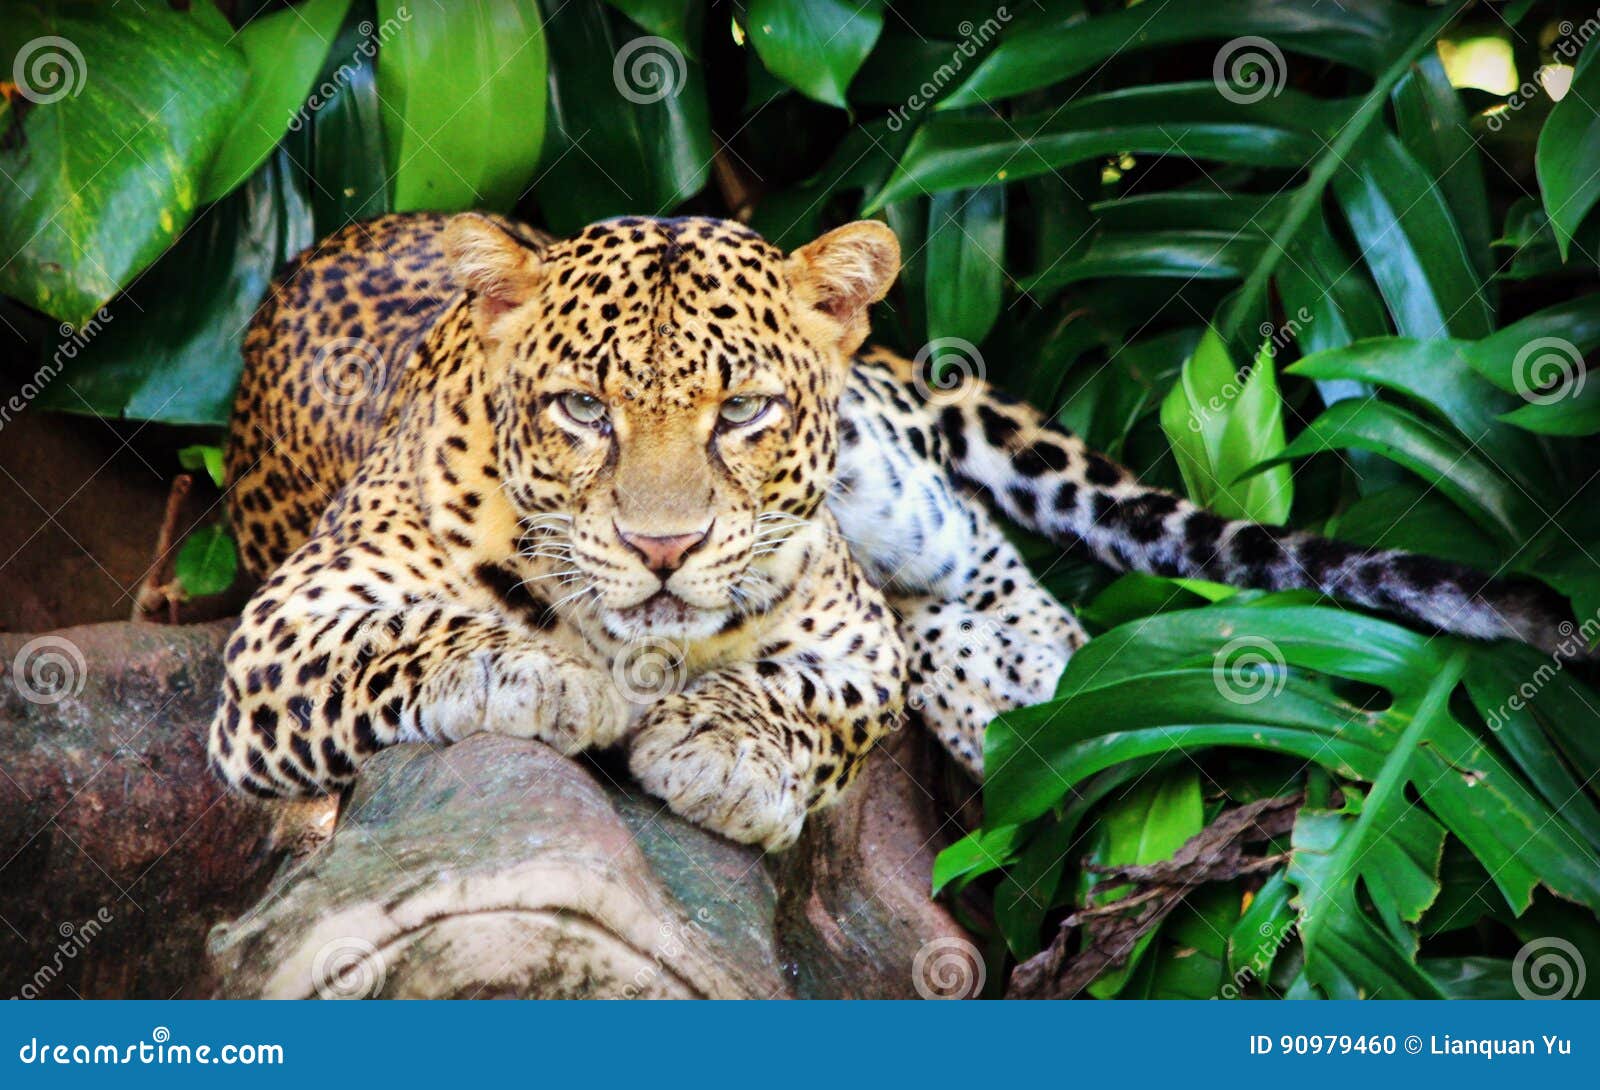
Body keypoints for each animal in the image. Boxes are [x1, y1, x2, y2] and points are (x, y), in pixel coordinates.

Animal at [212, 210, 1578, 851]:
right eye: (582, 410)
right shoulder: (277, 634)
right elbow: (408, 641)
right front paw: (544, 675)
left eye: (743, 410)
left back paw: (1034, 683)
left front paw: (721, 754)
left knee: (978, 543)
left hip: (893, 490)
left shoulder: (846, 627)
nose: (663, 549)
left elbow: (815, 695)